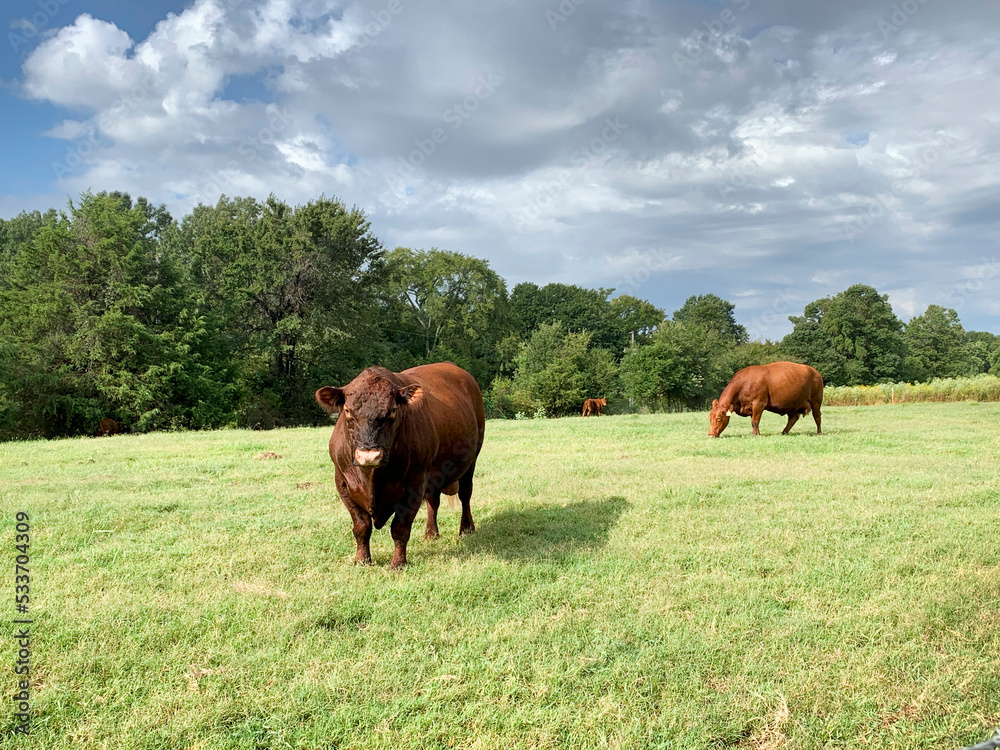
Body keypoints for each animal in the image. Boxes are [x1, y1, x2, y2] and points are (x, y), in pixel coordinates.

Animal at [315, 362, 485, 569]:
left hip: (472, 459)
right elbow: (361, 526)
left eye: (393, 411)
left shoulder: (415, 482)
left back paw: (466, 528)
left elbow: (400, 528)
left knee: (465, 494)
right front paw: (362, 560)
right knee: (433, 500)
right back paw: (431, 533)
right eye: (347, 410)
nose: (369, 455)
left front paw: (398, 563)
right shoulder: (342, 482)